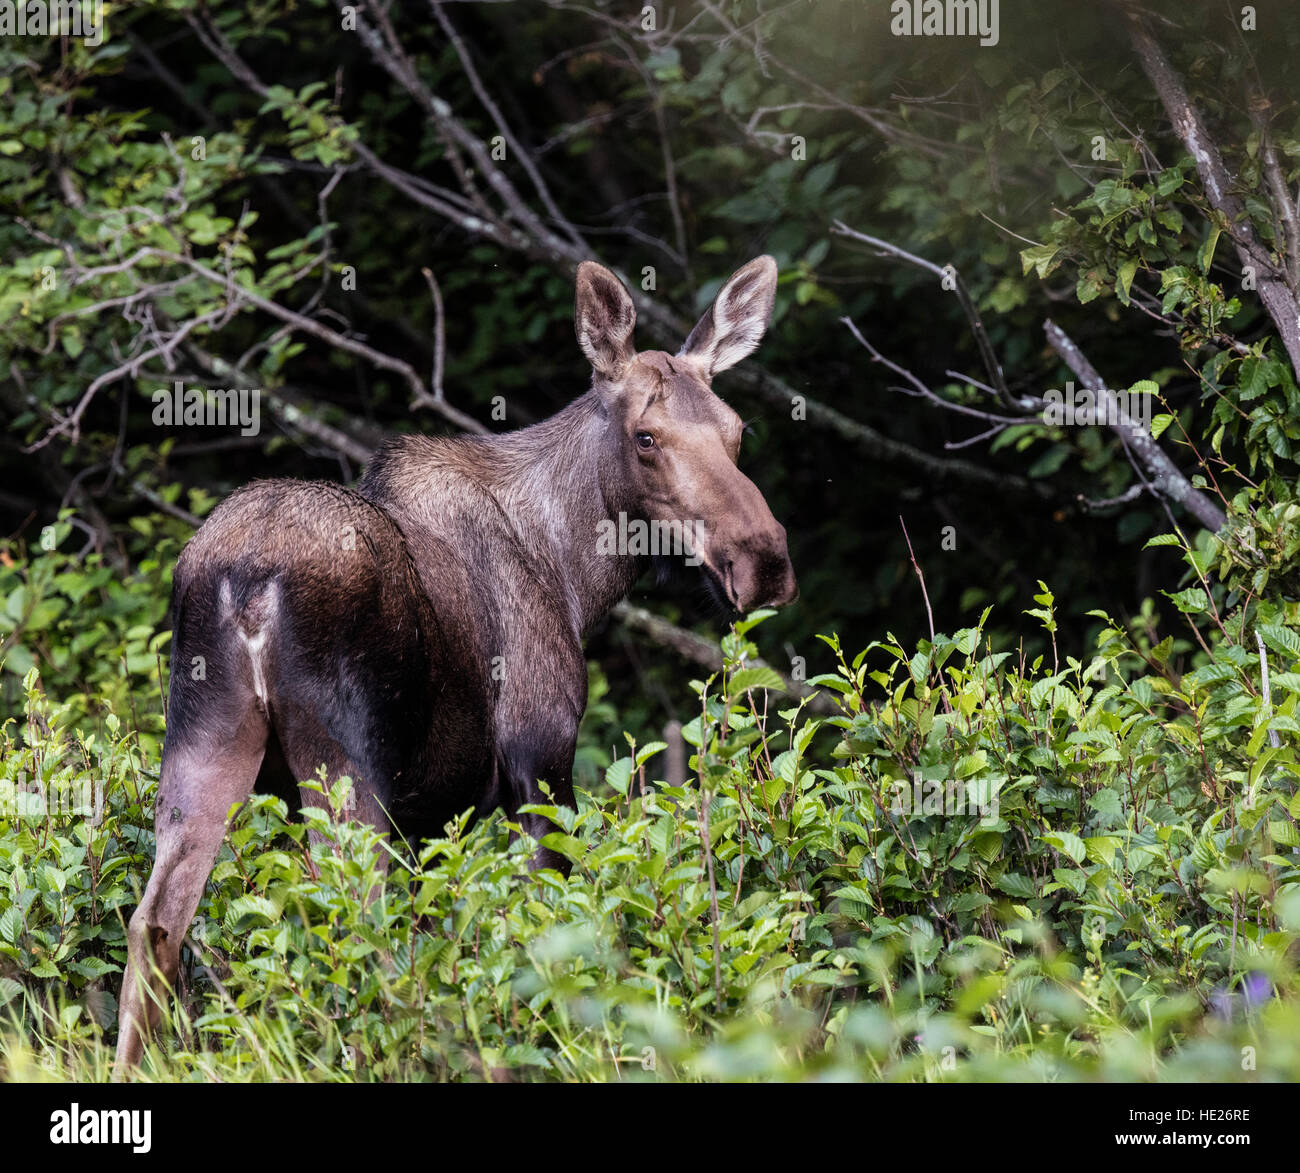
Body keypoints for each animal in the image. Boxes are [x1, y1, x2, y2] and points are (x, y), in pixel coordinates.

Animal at [113, 256, 797, 1076]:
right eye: (646, 436)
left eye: (737, 431)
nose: (764, 562)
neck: (574, 575)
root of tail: (245, 584)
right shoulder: (538, 758)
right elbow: (550, 931)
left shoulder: (436, 812)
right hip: (346, 763)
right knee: (355, 923)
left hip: (204, 737)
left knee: (156, 922)